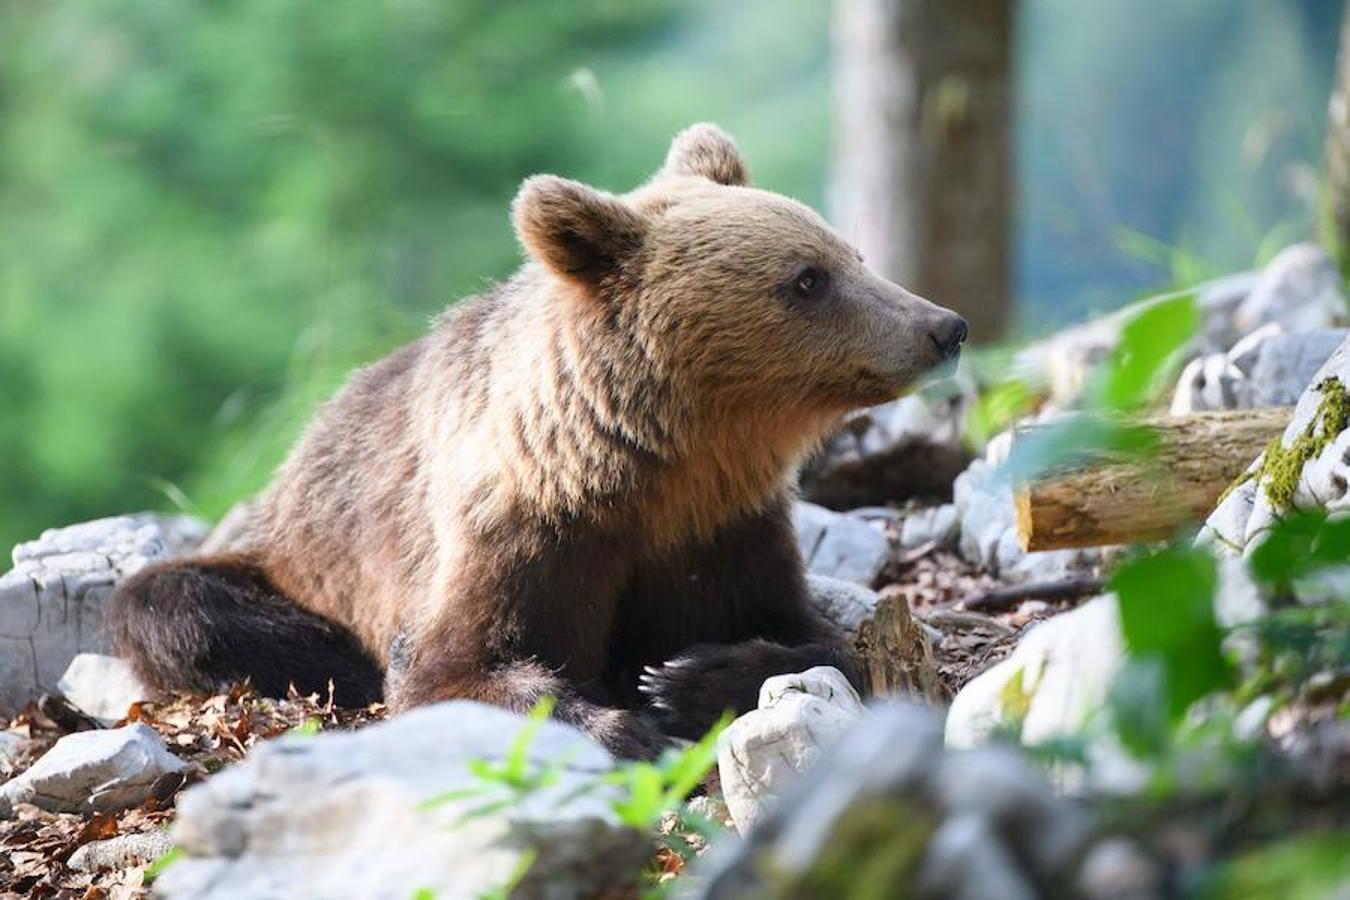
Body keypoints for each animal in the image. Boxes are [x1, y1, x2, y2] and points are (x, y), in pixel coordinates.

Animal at [107, 124, 967, 759]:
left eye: (851, 255)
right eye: (807, 279)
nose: (943, 326)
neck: (668, 462)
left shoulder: (727, 526)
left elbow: (825, 641)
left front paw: (685, 675)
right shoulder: (532, 530)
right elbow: (453, 666)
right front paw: (622, 716)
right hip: (297, 557)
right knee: (172, 604)